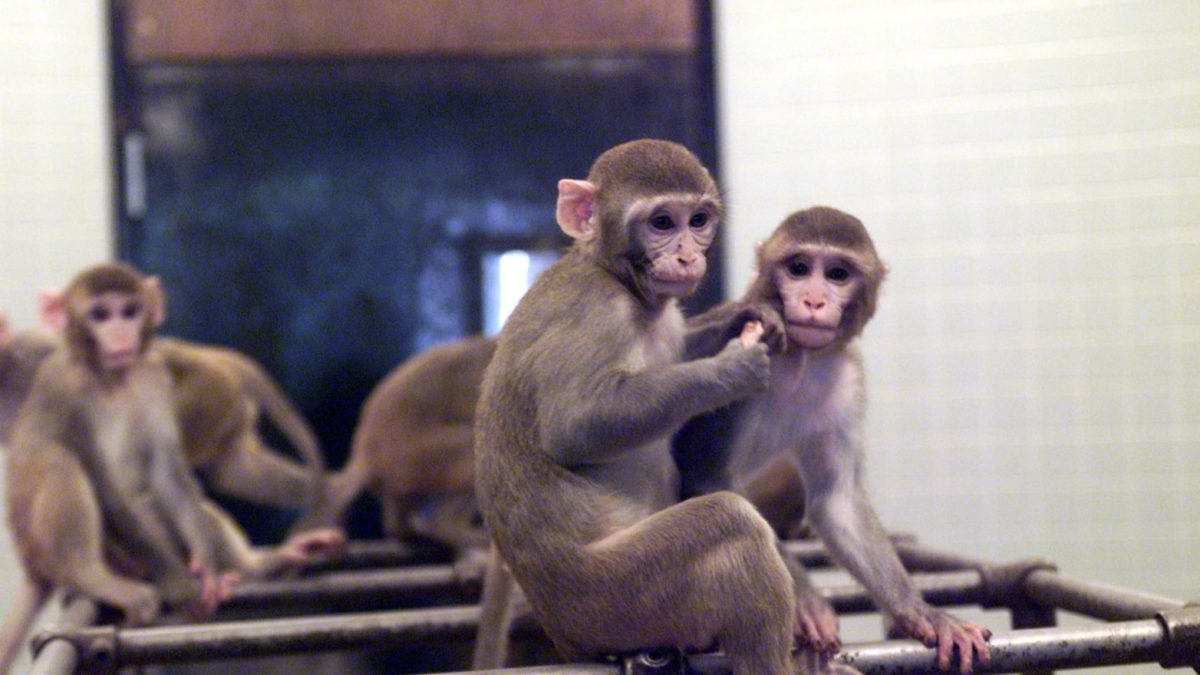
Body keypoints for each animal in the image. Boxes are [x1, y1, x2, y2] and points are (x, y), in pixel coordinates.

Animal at [0, 263, 341, 675]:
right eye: (99, 314)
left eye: (128, 311)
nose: (120, 335)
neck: (111, 381)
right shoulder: (63, 389)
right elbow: (103, 482)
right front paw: (181, 587)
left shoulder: (148, 377)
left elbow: (166, 469)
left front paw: (204, 569)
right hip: (40, 544)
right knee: (59, 459)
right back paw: (90, 573)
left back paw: (262, 565)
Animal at [473, 139, 804, 674]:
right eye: (662, 223)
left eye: (698, 219)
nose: (688, 255)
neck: (616, 277)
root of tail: (563, 634)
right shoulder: (592, 312)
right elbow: (574, 427)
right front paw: (732, 371)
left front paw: (746, 317)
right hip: (617, 600)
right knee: (732, 527)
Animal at [672, 207, 992, 674]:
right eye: (799, 268)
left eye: (838, 274)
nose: (813, 301)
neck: (801, 359)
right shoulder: (740, 356)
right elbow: (708, 479)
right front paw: (806, 598)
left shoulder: (846, 379)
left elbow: (837, 503)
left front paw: (919, 610)